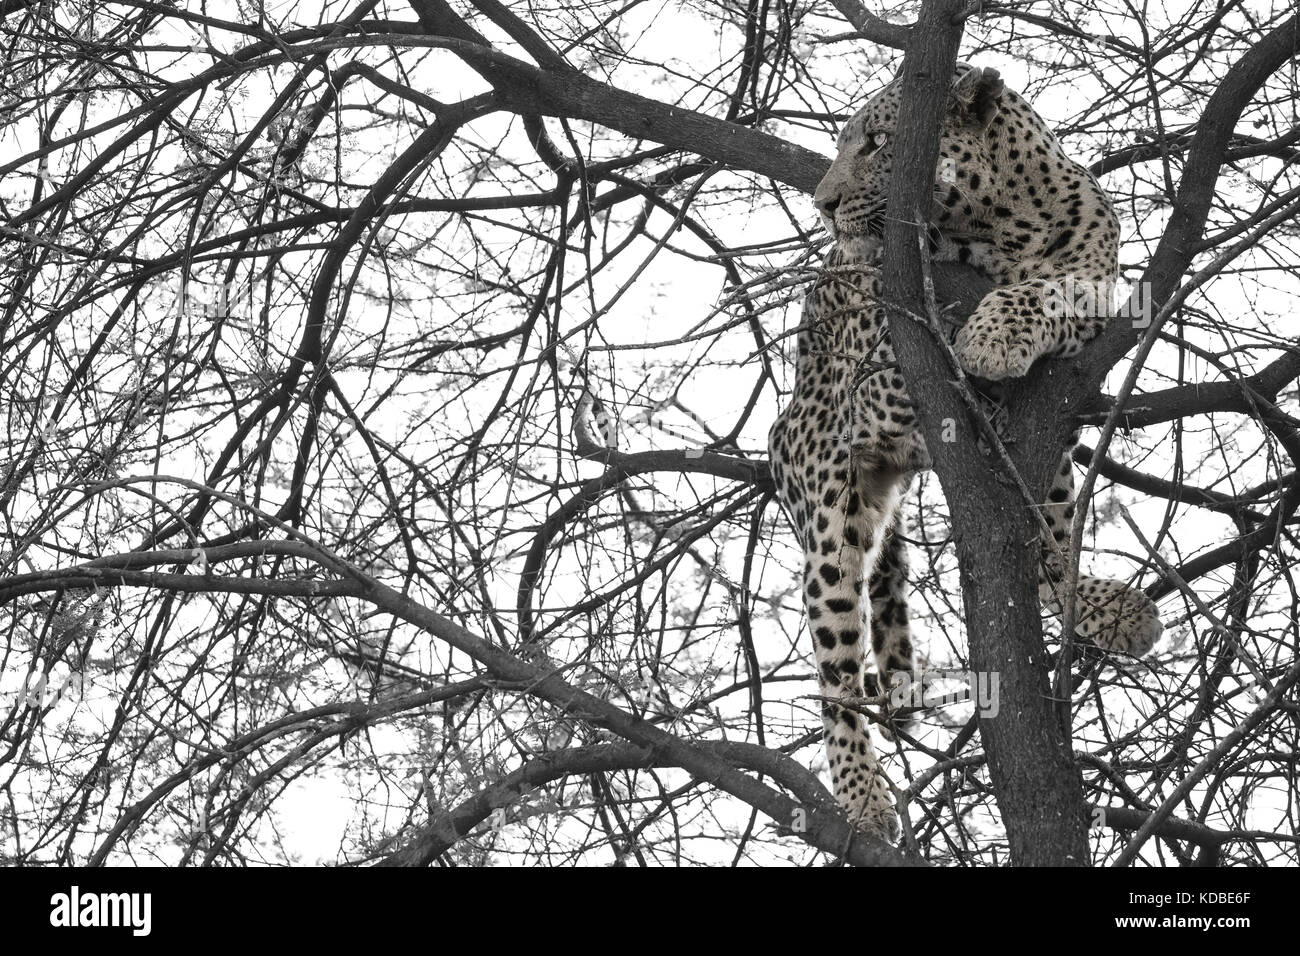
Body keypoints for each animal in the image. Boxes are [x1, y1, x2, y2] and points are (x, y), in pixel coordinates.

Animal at [766, 64, 1163, 844]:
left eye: (877, 144)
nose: (823, 205)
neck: (997, 226)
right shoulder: (878, 363)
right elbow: (910, 352)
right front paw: (975, 339)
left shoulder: (1094, 281)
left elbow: (1044, 289)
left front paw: (996, 333)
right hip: (823, 504)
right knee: (835, 680)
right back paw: (864, 797)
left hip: (1050, 465)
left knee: (1048, 554)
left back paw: (1109, 608)